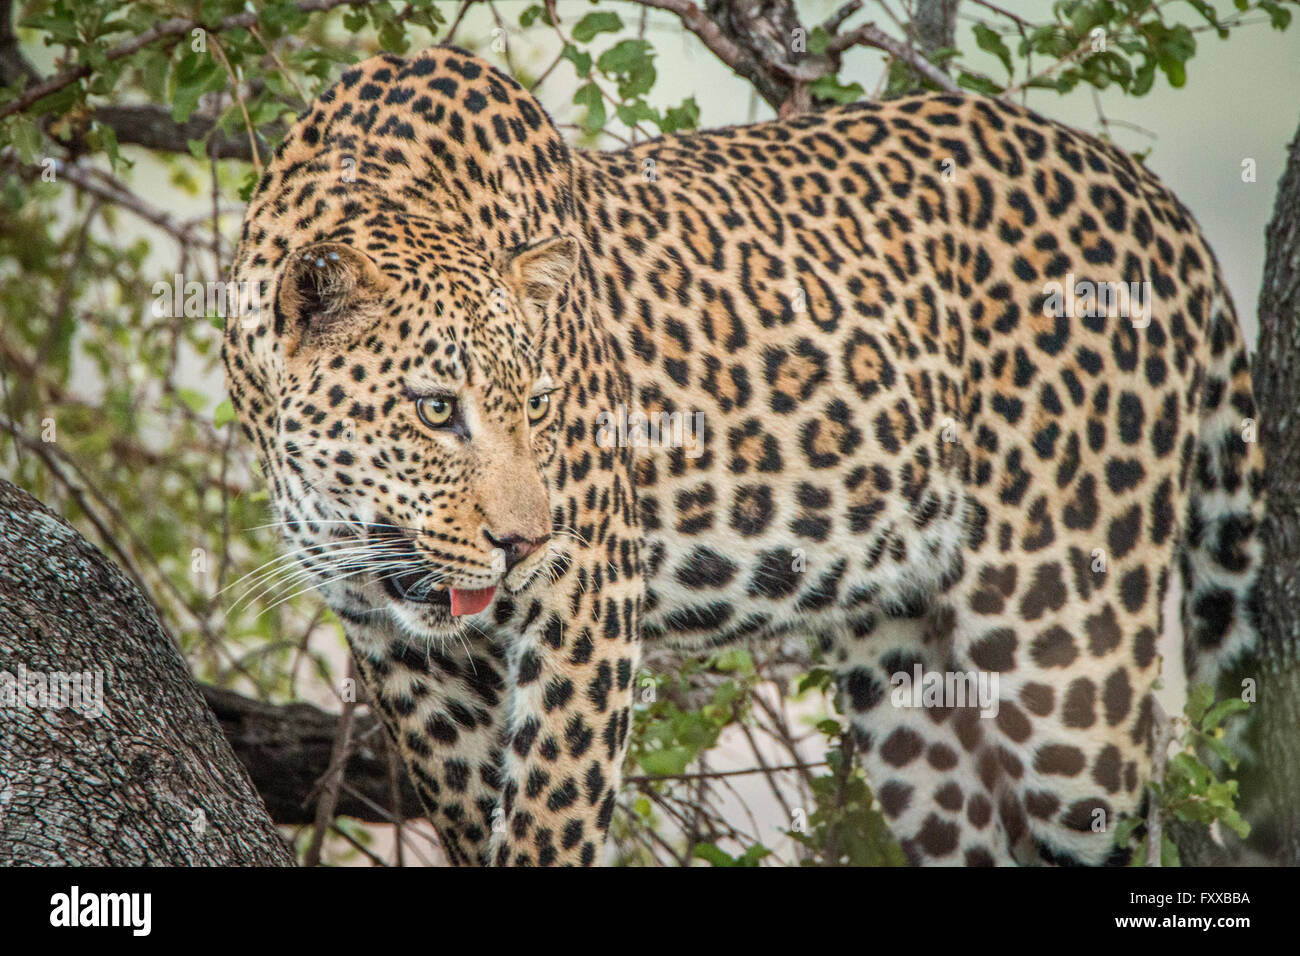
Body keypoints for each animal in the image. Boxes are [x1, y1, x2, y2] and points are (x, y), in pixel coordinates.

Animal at [224, 44, 1264, 866]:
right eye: (436, 410)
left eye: (541, 406)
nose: (523, 543)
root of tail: (1153, 195)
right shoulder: (395, 647)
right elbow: (474, 811)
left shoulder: (586, 598)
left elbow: (551, 812)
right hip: (910, 688)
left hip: (1067, 663)